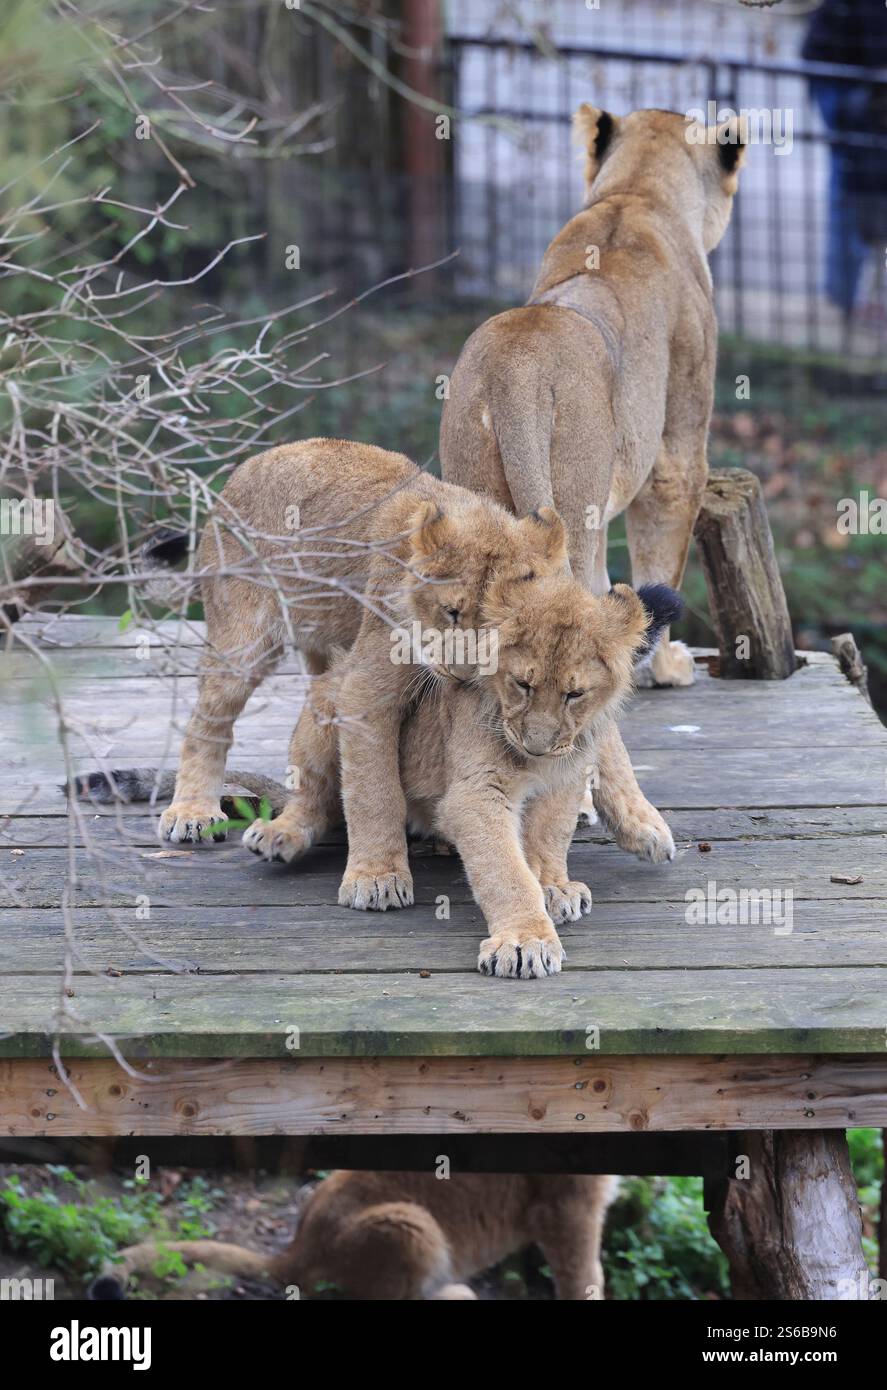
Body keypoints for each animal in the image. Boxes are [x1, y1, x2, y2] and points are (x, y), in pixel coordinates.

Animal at [439, 104, 747, 689]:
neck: (636, 191)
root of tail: (513, 371)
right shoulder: (675, 453)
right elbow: (660, 556)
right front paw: (666, 668)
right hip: (573, 503)